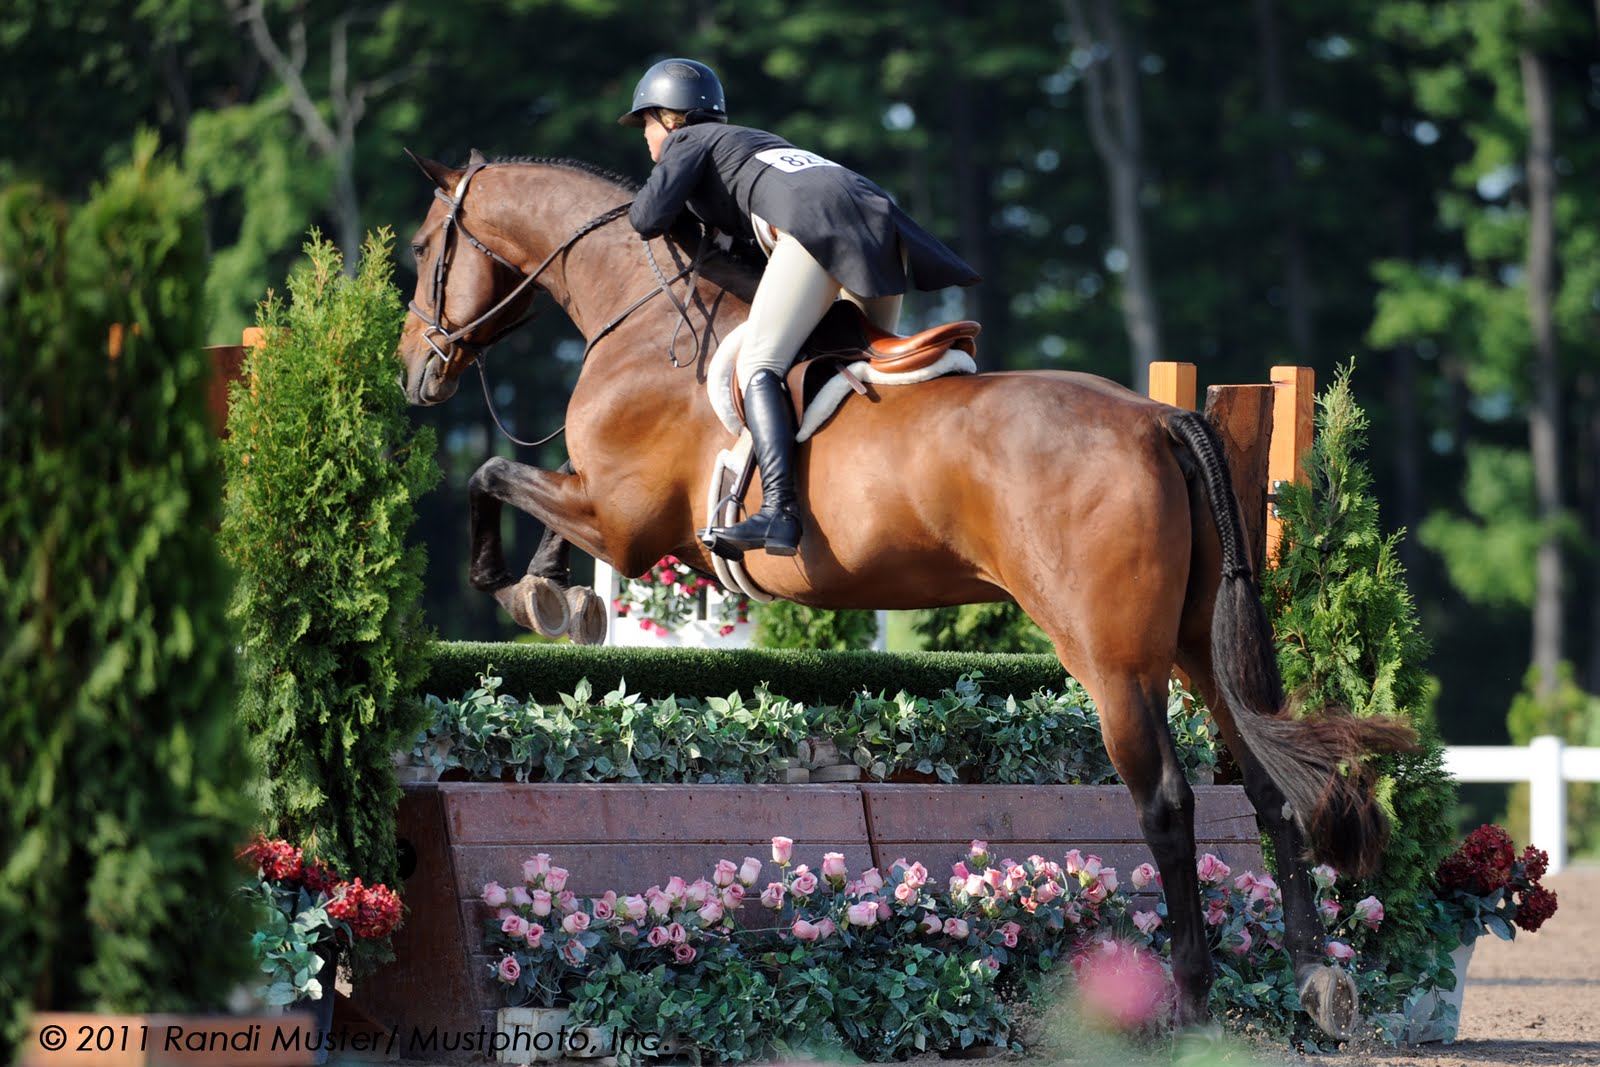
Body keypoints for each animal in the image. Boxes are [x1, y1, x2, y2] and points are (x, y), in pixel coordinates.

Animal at [395, 150, 1415, 1039]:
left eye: (422, 247)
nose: (415, 369)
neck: (643, 317)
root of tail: (1162, 418)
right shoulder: (615, 514)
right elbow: (535, 500)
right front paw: (554, 595)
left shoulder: (626, 521)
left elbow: (494, 475)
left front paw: (519, 590)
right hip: (1197, 643)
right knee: (1268, 785)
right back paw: (1314, 977)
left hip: (1114, 657)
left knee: (1167, 800)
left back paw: (1191, 999)